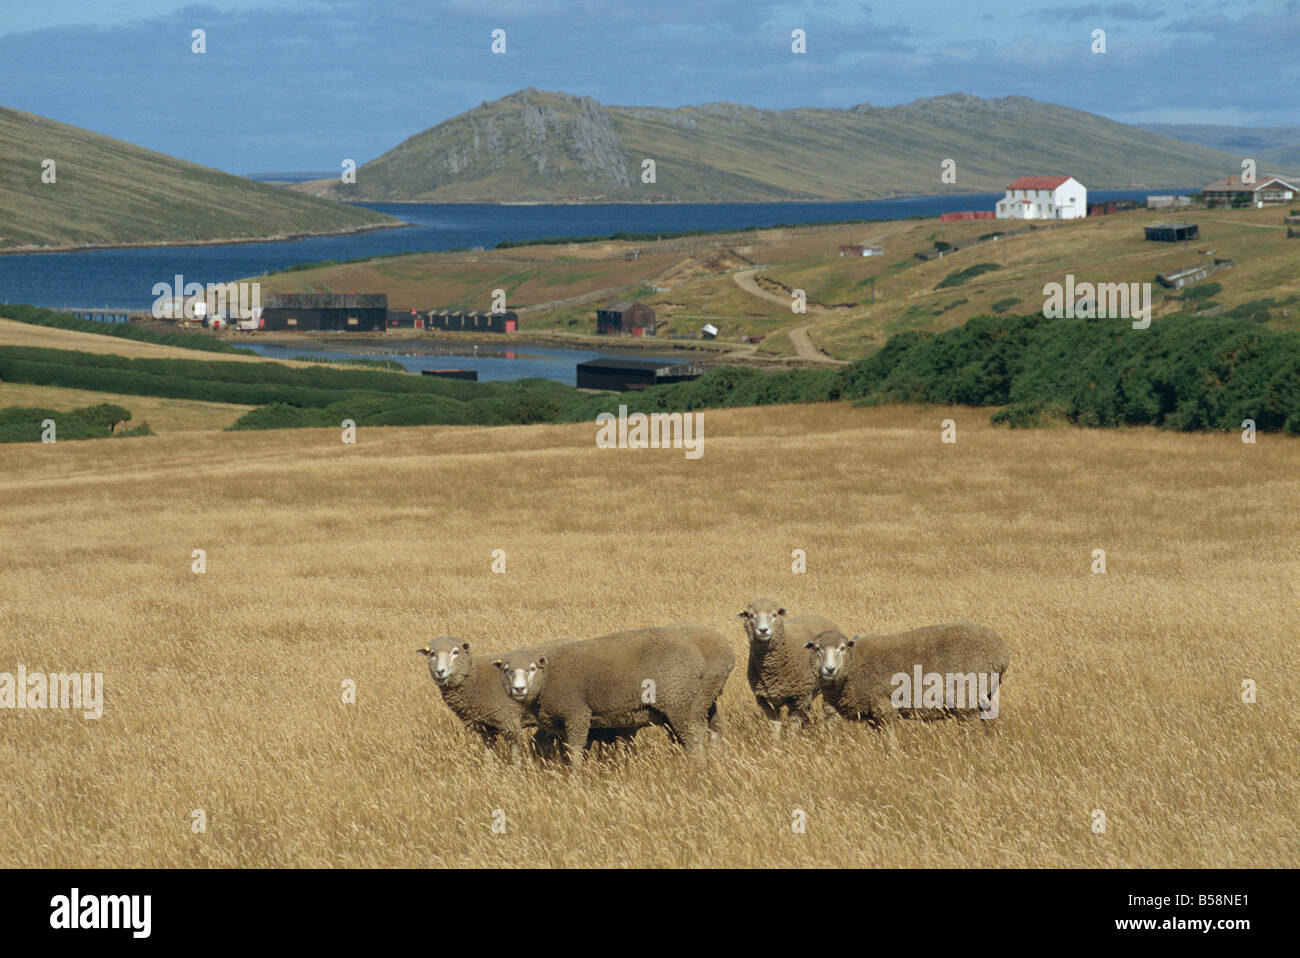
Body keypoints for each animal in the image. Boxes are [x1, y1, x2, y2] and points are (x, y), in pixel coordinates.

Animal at [417, 636, 637, 764]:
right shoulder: (485, 726)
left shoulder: (508, 719)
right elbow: (488, 751)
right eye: (431, 654)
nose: (440, 672)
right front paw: (489, 772)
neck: (473, 677)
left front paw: (515, 772)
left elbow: (514, 749)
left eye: (456, 652)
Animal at [493, 625, 715, 766]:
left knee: (694, 734)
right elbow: (567, 750)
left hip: (680, 701)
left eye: (532, 669)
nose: (519, 689)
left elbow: (576, 750)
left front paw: (575, 777)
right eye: (506, 670)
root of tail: (696, 656)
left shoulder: (577, 714)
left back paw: (696, 768)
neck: (547, 679)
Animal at [737, 599, 840, 736]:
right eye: (751, 616)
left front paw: (791, 739)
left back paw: (830, 732)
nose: (763, 630)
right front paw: (775, 740)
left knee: (830, 711)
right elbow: (775, 723)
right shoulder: (763, 698)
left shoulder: (798, 697)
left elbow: (792, 725)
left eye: (774, 614)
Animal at [804, 623, 1009, 744]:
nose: (830, 669)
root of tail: (1001, 652)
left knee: (970, 726)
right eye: (817, 648)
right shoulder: (871, 713)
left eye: (841, 648)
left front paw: (892, 757)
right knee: (989, 722)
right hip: (987, 693)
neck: (853, 665)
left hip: (968, 694)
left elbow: (890, 737)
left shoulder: (883, 704)